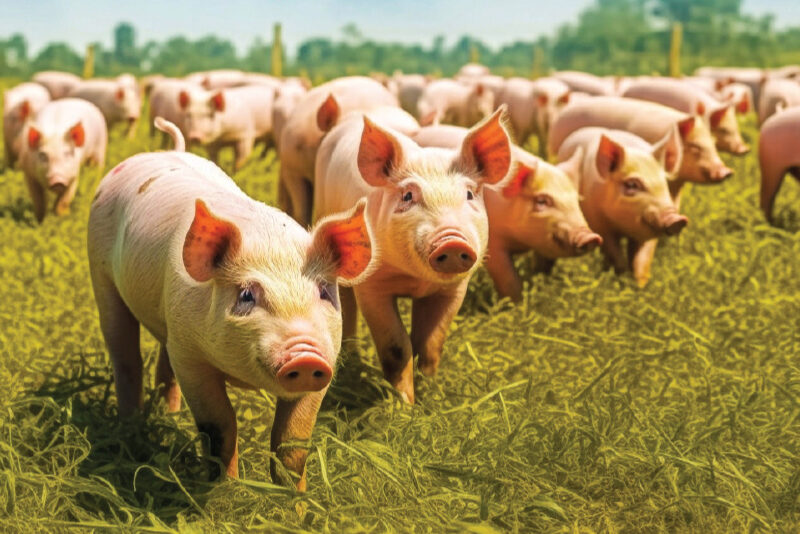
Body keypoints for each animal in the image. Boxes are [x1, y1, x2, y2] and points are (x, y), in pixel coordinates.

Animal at [87, 117, 374, 489]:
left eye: (324, 292)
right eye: (246, 295)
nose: (305, 353)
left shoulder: (327, 361)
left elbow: (292, 442)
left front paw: (296, 501)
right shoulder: (191, 358)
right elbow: (220, 427)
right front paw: (227, 492)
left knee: (161, 356)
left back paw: (170, 414)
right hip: (100, 273)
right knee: (125, 355)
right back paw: (130, 425)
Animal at [314, 108, 512, 403]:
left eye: (468, 194)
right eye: (408, 195)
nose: (451, 241)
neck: (416, 281)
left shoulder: (454, 288)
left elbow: (430, 345)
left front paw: (431, 395)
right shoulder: (373, 287)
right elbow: (396, 347)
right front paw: (404, 404)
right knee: (347, 303)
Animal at [413, 124, 601, 301]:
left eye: (576, 200)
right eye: (542, 200)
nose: (590, 237)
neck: (520, 241)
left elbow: (544, 266)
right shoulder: (494, 242)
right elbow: (509, 279)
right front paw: (516, 305)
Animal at [558, 127, 687, 286]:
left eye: (664, 184)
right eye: (632, 184)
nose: (677, 219)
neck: (624, 228)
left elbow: (642, 260)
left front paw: (639, 285)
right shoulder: (600, 226)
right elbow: (615, 254)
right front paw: (621, 280)